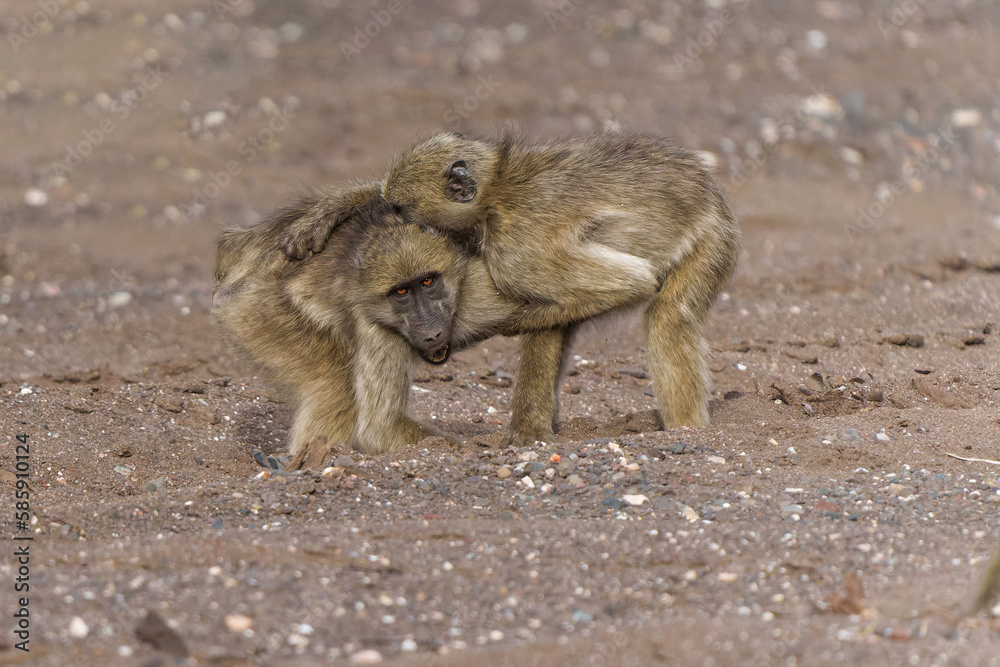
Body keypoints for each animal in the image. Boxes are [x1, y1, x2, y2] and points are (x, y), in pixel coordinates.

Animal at [280, 129, 742, 438]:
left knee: (668, 316)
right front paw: (329, 212)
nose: (384, 220)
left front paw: (511, 323)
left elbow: (632, 281)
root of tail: (711, 191)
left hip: (710, 239)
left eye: (401, 211)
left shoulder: (516, 249)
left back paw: (686, 433)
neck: (497, 190)